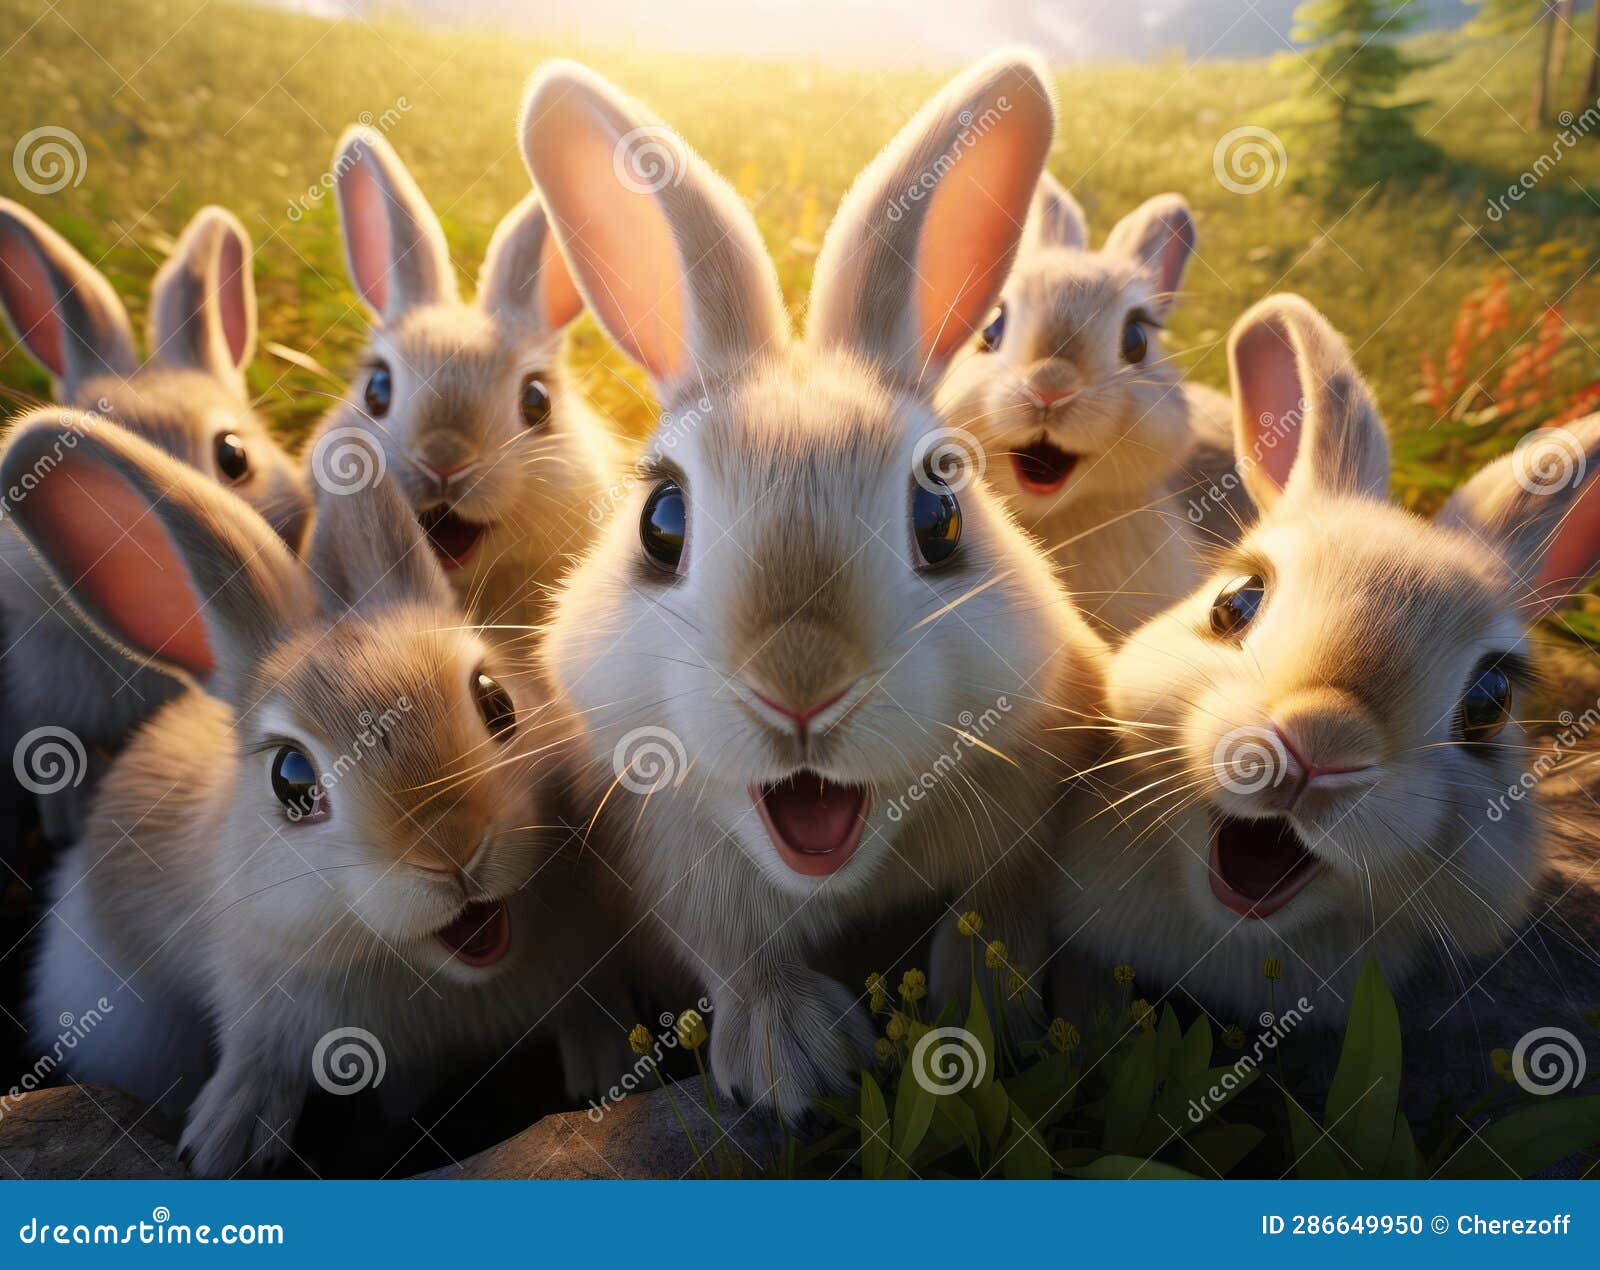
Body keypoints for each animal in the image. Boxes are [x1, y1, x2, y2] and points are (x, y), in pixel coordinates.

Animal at [8, 408, 629, 1177]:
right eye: (291, 782)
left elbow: (587, 1004)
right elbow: (261, 1057)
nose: (452, 850)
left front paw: (606, 1064)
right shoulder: (261, 986)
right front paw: (224, 1141)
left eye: (496, 702)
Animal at [521, 54, 1111, 1124]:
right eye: (661, 523)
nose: (800, 687)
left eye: (941, 514)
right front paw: (793, 1059)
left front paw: (986, 1012)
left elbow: (998, 903)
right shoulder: (665, 858)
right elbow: (736, 956)